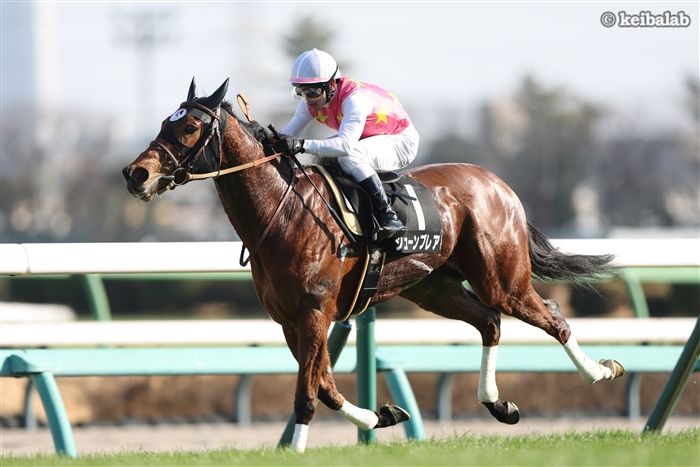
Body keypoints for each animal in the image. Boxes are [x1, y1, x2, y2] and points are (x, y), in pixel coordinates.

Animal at [123, 78, 624, 452]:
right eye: (166, 122)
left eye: (190, 127)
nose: (135, 174)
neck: (282, 214)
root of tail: (499, 184)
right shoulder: (291, 319)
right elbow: (325, 386)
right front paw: (382, 415)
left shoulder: (314, 311)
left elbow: (307, 395)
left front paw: (297, 449)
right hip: (433, 287)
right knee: (490, 323)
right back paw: (500, 405)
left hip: (502, 279)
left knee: (553, 318)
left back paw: (601, 371)